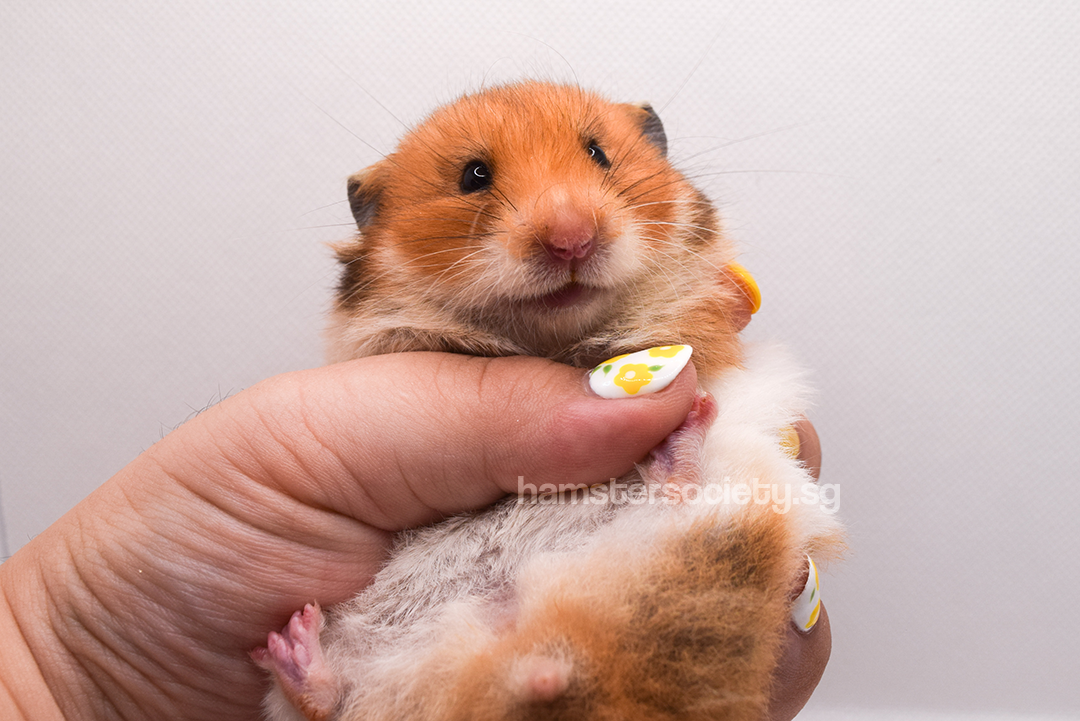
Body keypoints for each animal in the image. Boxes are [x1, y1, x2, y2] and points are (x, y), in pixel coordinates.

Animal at [253, 82, 844, 721]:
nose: (571, 239)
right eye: (473, 175)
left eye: (598, 153)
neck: (554, 342)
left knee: (684, 497)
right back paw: (293, 645)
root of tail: (535, 658)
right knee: (328, 700)